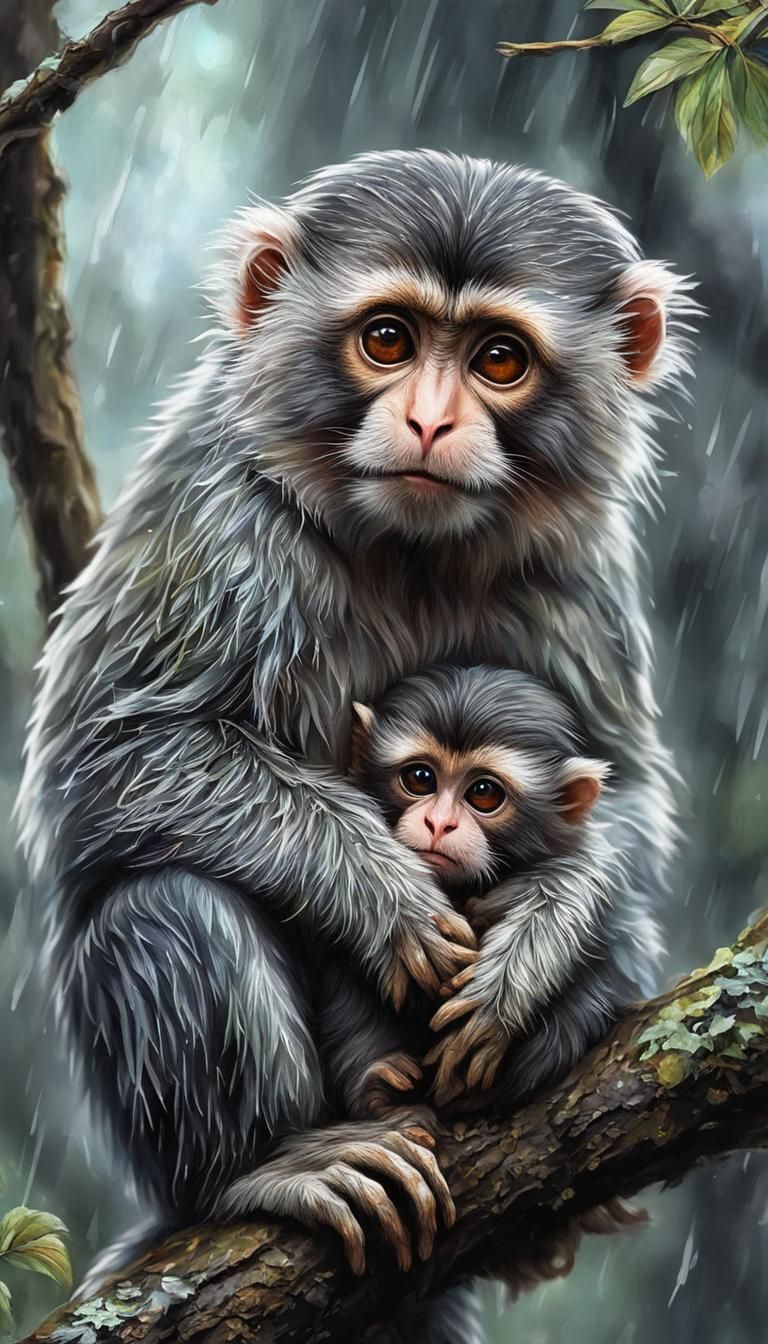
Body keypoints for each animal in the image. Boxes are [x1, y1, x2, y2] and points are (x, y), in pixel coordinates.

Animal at [17, 150, 693, 1339]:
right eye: (388, 339)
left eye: (499, 359)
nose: (427, 422)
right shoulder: (222, 523)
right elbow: (109, 755)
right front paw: (378, 894)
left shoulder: (578, 565)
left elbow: (625, 797)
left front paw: (537, 947)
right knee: (164, 911)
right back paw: (262, 1169)